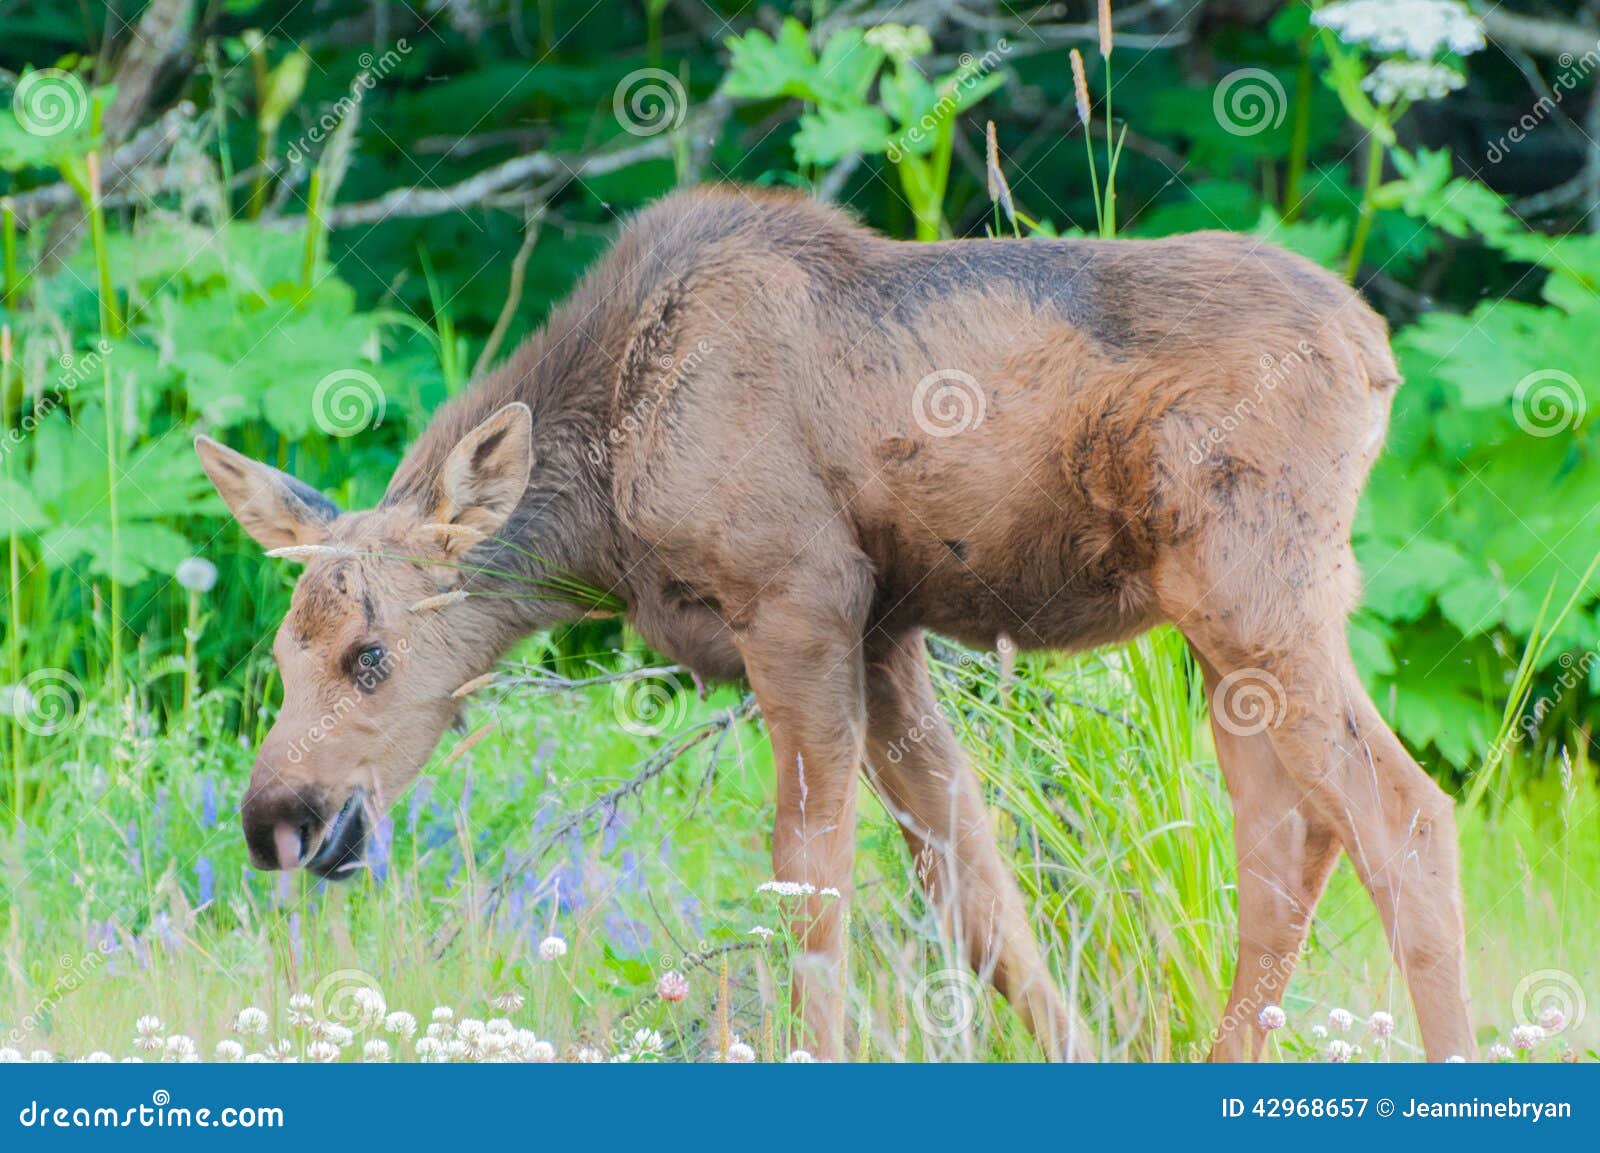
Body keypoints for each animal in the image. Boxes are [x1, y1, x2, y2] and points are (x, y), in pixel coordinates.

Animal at [196, 185, 1474, 1062]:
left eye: (371, 655)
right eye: (282, 656)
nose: (277, 820)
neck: (605, 479)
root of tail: (1379, 359)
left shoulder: (800, 599)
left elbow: (808, 876)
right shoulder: (886, 634)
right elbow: (974, 893)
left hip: (1253, 594)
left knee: (1403, 814)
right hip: (1226, 623)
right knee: (1288, 838)